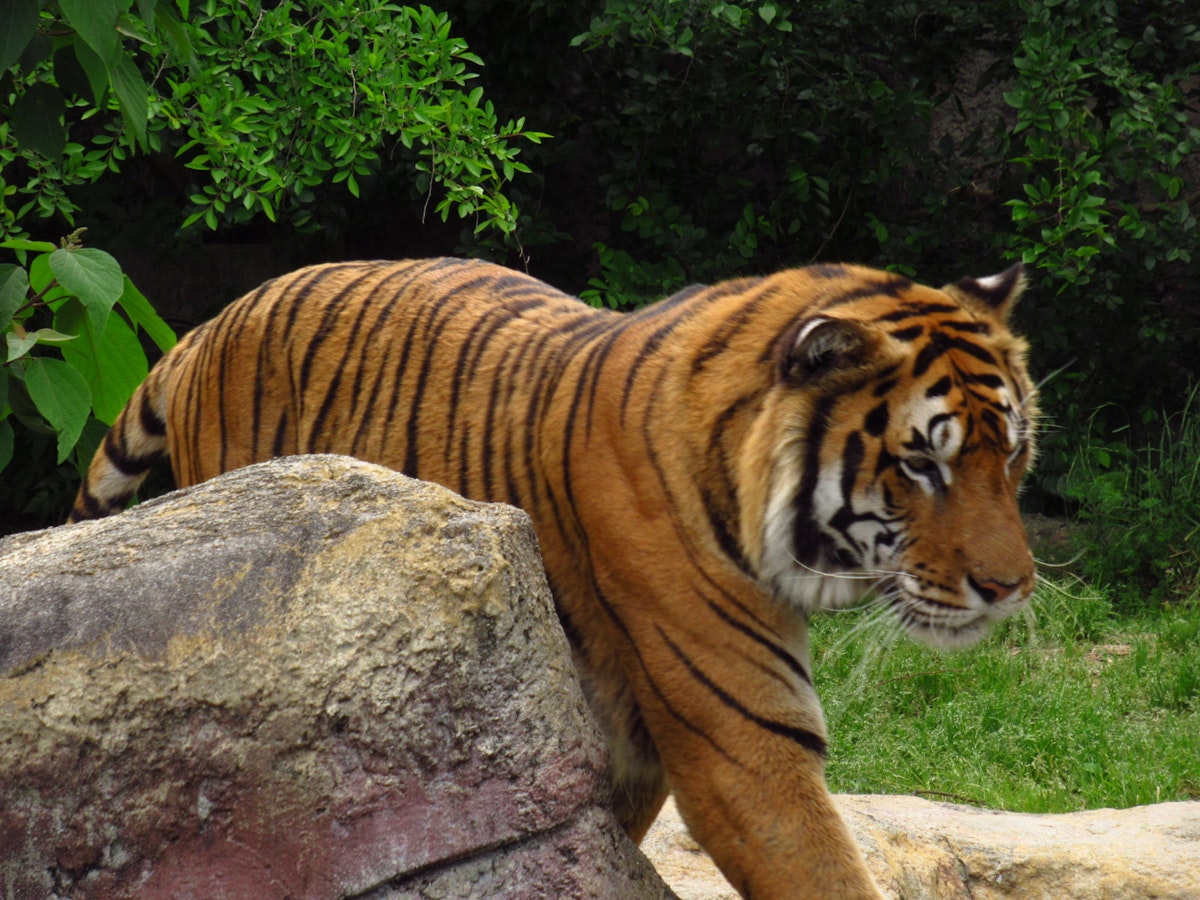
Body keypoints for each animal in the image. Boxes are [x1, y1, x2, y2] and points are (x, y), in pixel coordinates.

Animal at [70, 257, 1037, 899]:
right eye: (922, 465)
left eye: (1012, 455)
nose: (1014, 586)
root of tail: (217, 318)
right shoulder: (744, 741)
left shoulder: (638, 745)